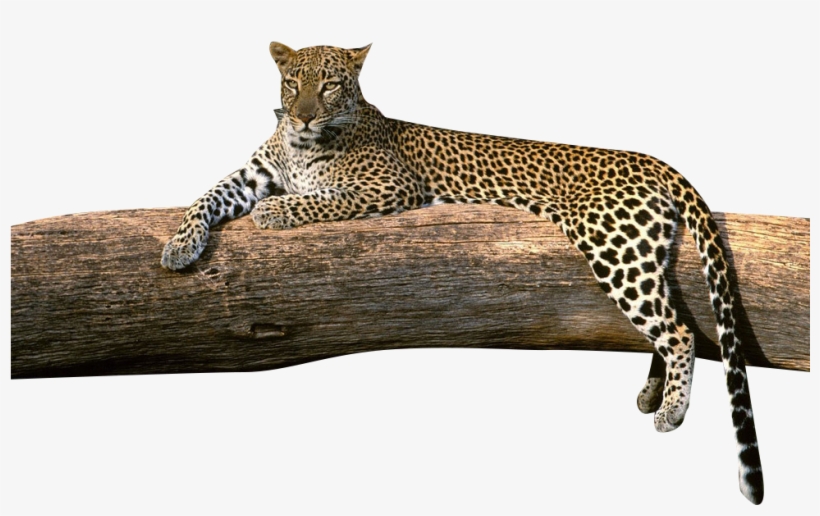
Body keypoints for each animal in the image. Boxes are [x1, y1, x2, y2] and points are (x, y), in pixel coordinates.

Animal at [161, 42, 764, 504]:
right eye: (292, 83)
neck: (301, 143)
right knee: (670, 315)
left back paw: (672, 412)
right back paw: (653, 394)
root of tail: (652, 160)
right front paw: (177, 247)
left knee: (678, 329)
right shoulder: (250, 175)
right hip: (642, 250)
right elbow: (206, 197)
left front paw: (274, 213)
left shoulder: (388, 188)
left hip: (612, 244)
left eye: (330, 86)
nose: (304, 114)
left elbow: (316, 201)